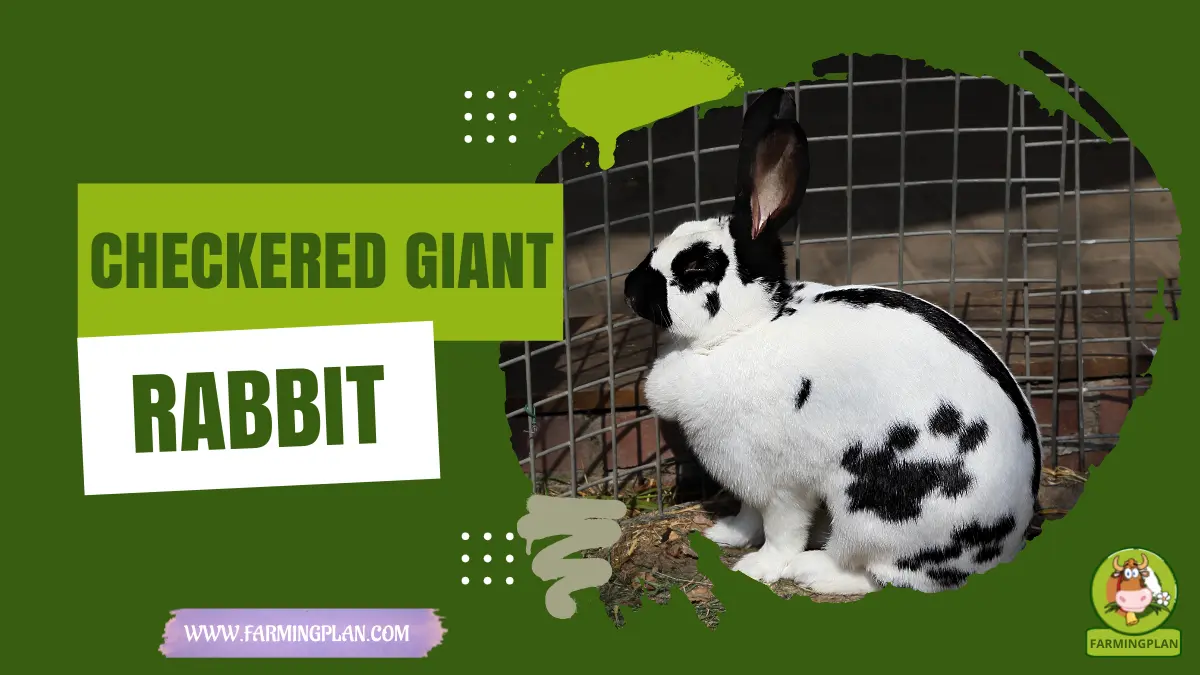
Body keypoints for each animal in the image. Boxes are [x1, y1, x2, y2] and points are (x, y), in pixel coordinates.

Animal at [622, 88, 1041, 595]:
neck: (747, 329)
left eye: (695, 266)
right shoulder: (748, 482)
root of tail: (1003, 549)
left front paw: (757, 567)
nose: (628, 289)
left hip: (873, 510)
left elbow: (781, 531)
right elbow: (747, 515)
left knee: (878, 576)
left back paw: (812, 569)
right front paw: (725, 535)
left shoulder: (780, 485)